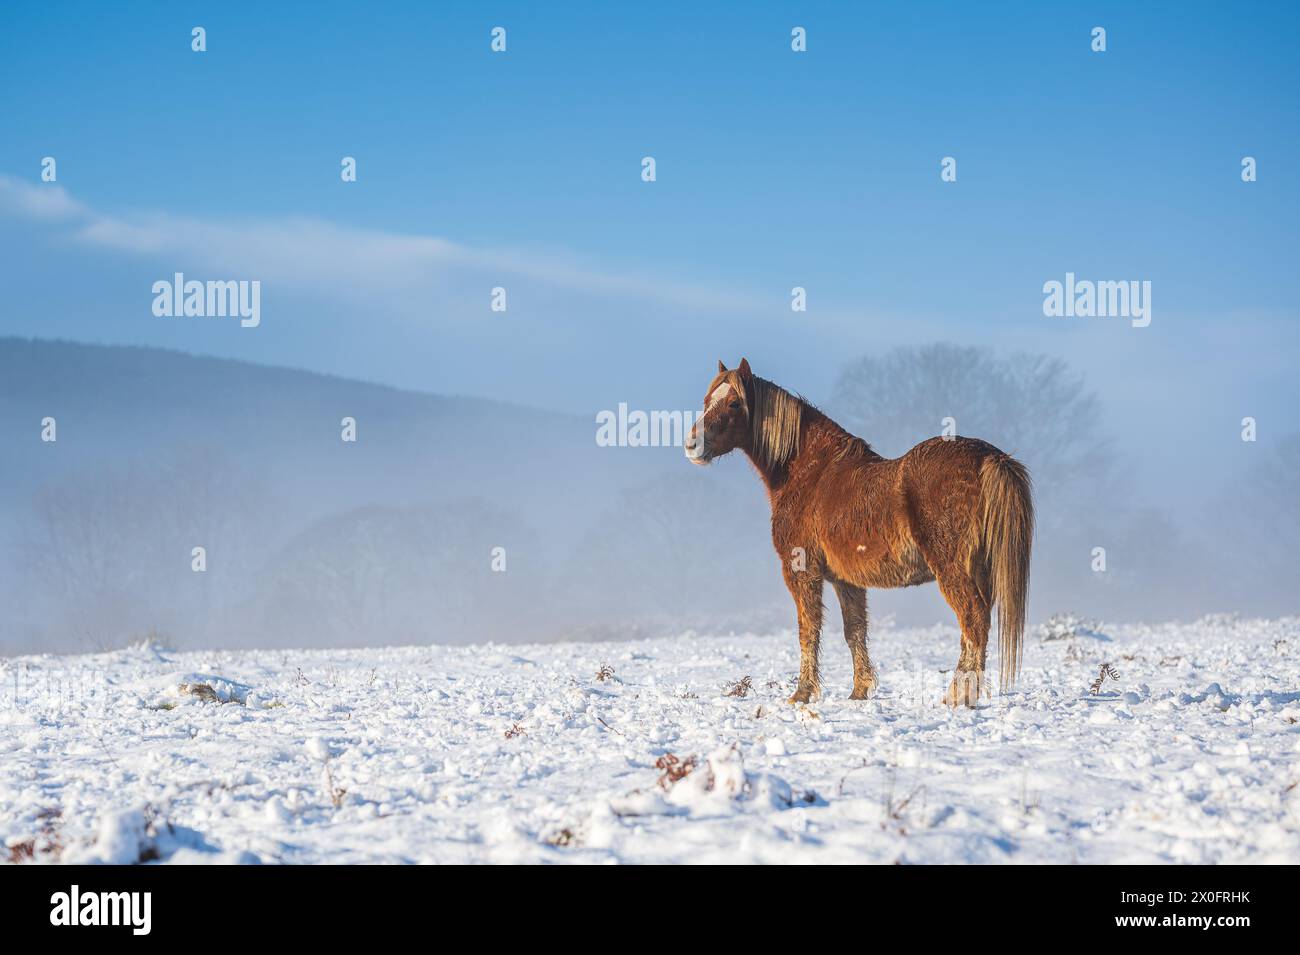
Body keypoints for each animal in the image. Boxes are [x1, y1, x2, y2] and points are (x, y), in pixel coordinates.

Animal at [685, 359, 1034, 707]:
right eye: (707, 400)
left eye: (734, 403)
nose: (692, 444)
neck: (812, 473)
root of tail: (989, 457)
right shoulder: (846, 580)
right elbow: (854, 631)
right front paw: (859, 691)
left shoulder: (801, 571)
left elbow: (808, 630)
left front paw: (802, 693)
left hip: (953, 569)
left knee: (973, 621)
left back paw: (957, 697)